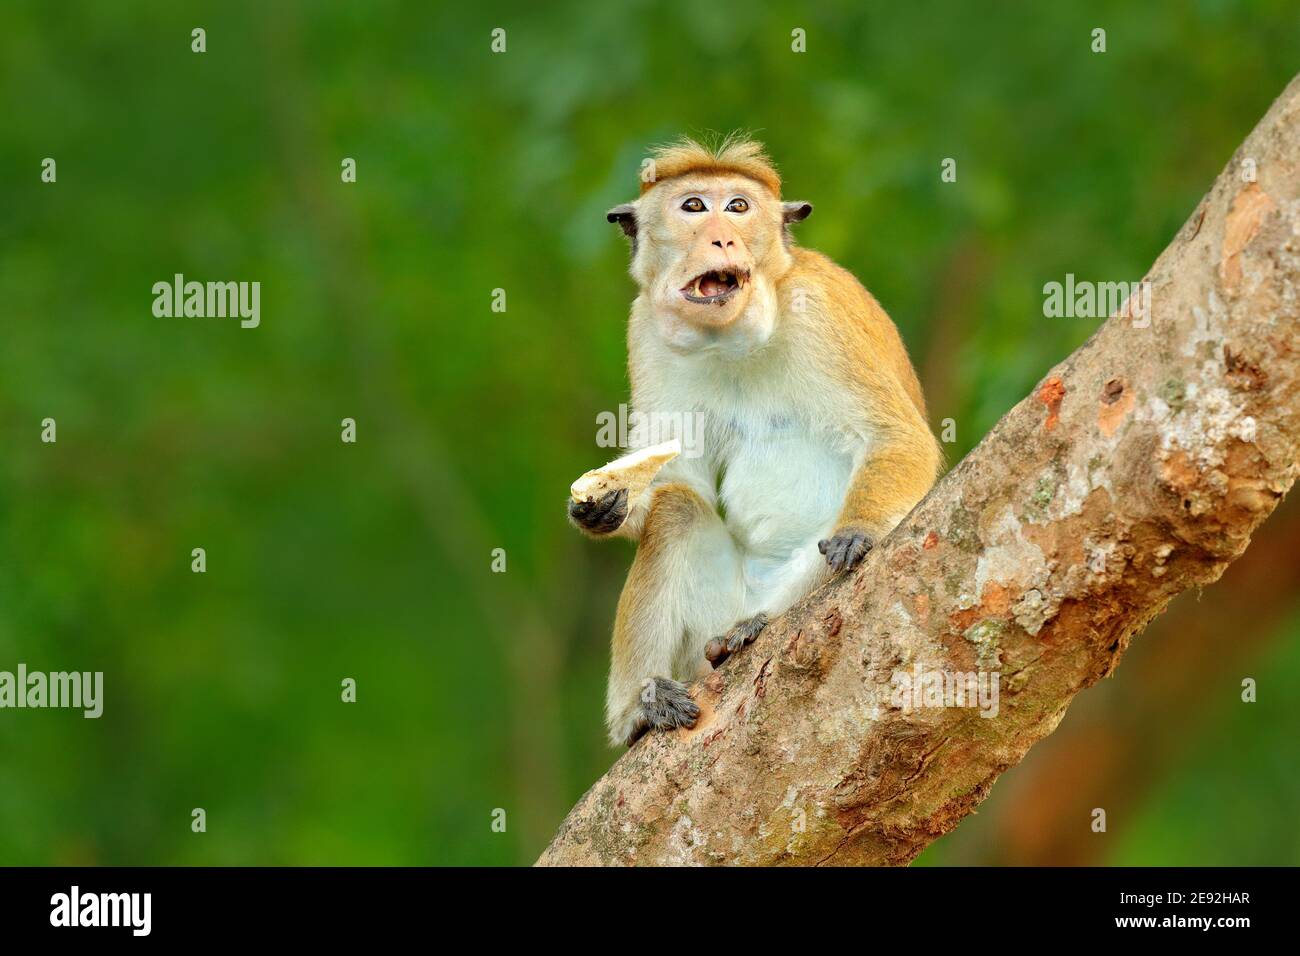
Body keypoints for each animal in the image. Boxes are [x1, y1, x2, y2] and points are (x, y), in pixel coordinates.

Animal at [570, 135, 942, 747]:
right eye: (694, 206)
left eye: (739, 206)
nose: (723, 236)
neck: (732, 337)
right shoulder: (645, 327)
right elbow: (679, 477)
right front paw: (606, 505)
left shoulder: (821, 309)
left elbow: (896, 438)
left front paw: (859, 531)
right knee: (677, 513)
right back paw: (639, 708)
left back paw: (751, 629)